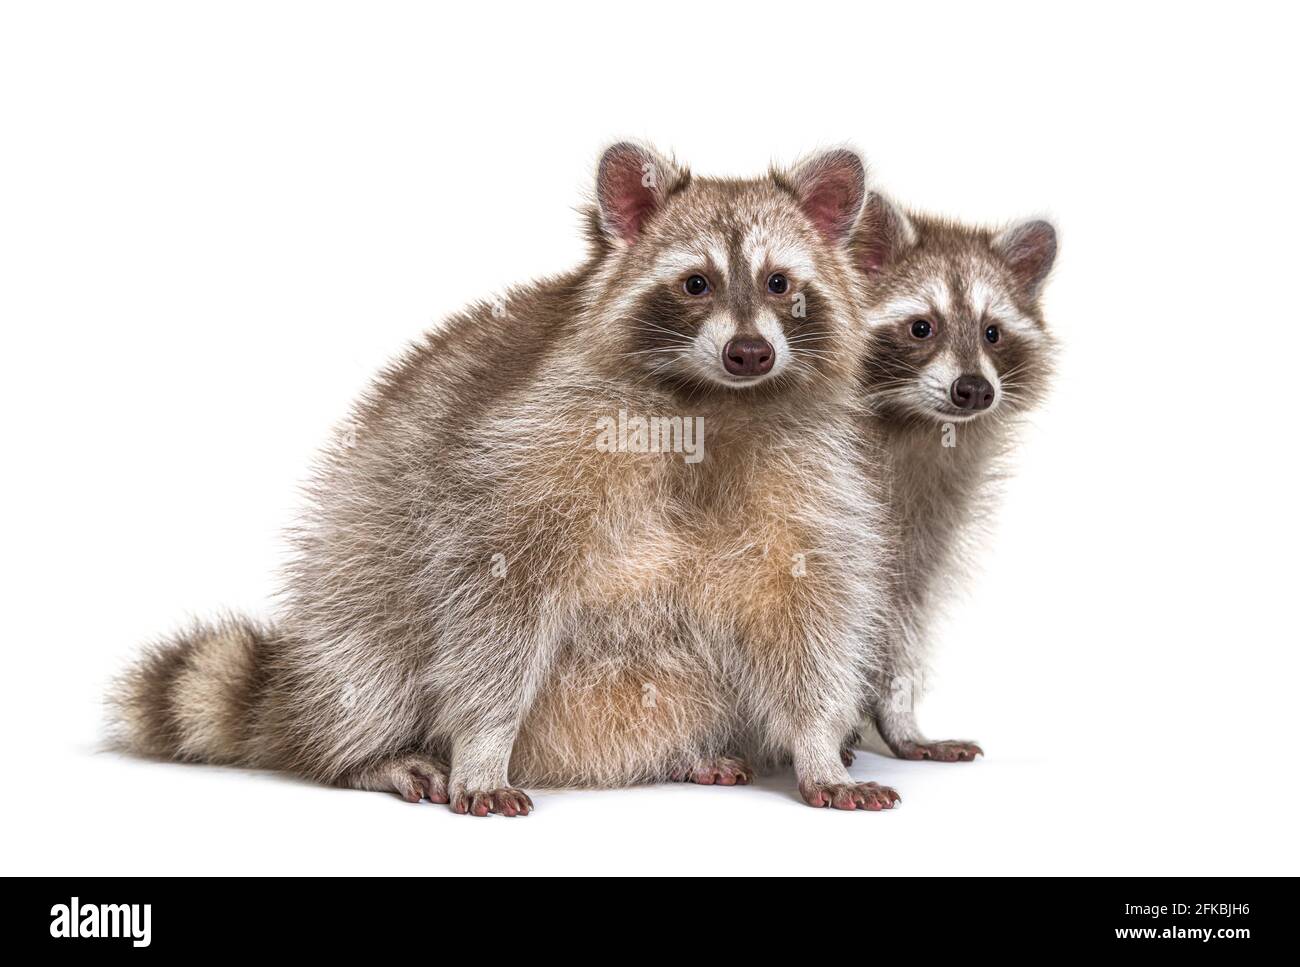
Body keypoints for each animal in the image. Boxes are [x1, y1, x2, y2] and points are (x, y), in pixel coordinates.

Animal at [111, 144, 901, 814]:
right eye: (695, 283)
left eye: (779, 283)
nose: (749, 351)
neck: (712, 404)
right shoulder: (523, 453)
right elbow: (491, 607)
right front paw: (482, 747)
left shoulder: (812, 479)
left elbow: (810, 609)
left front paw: (816, 744)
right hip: (354, 567)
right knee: (370, 653)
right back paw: (368, 754)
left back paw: (690, 753)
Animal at [849, 193, 1057, 761]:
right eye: (922, 327)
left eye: (993, 332)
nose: (975, 389)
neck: (915, 423)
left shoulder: (930, 514)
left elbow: (902, 608)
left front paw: (899, 718)